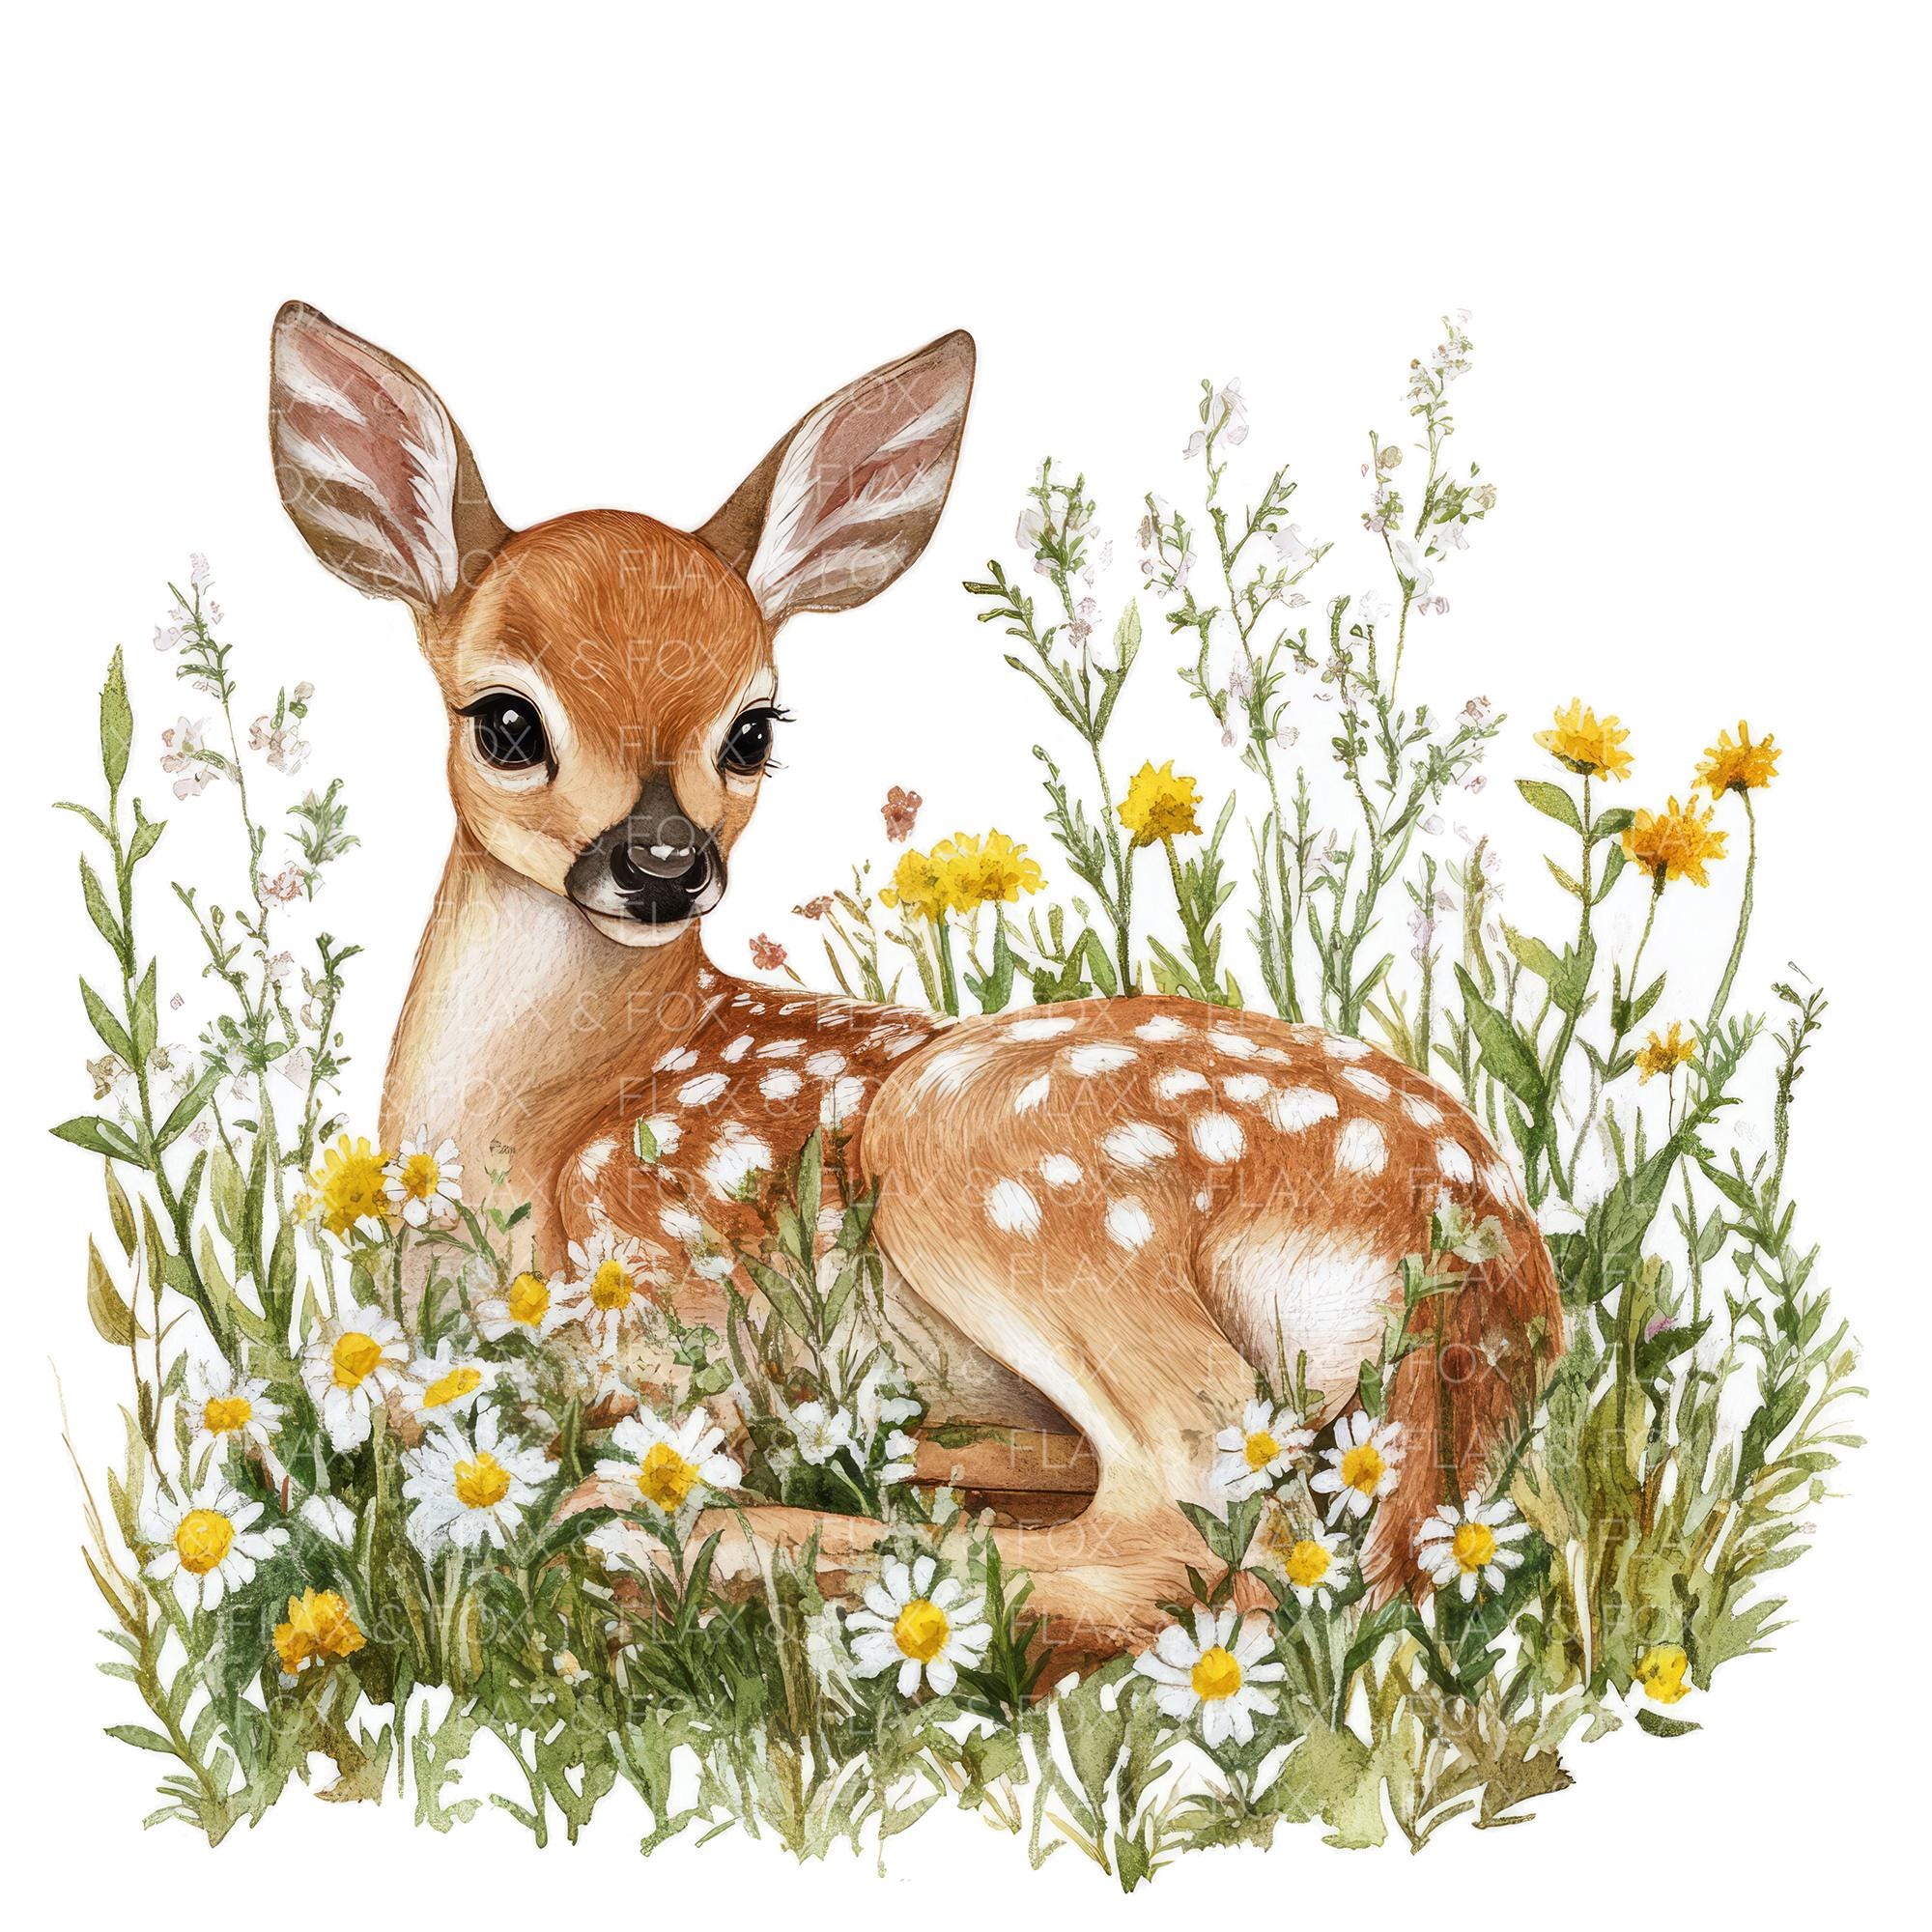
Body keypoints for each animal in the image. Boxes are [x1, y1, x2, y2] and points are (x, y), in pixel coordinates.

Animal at [267, 301, 1562, 1649]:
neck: (538, 1126)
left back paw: (699, 1542)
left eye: (752, 729)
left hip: (992, 1163)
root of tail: (1482, 1266)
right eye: (506, 722)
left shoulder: (671, 1310)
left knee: (1204, 1526)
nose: (663, 864)